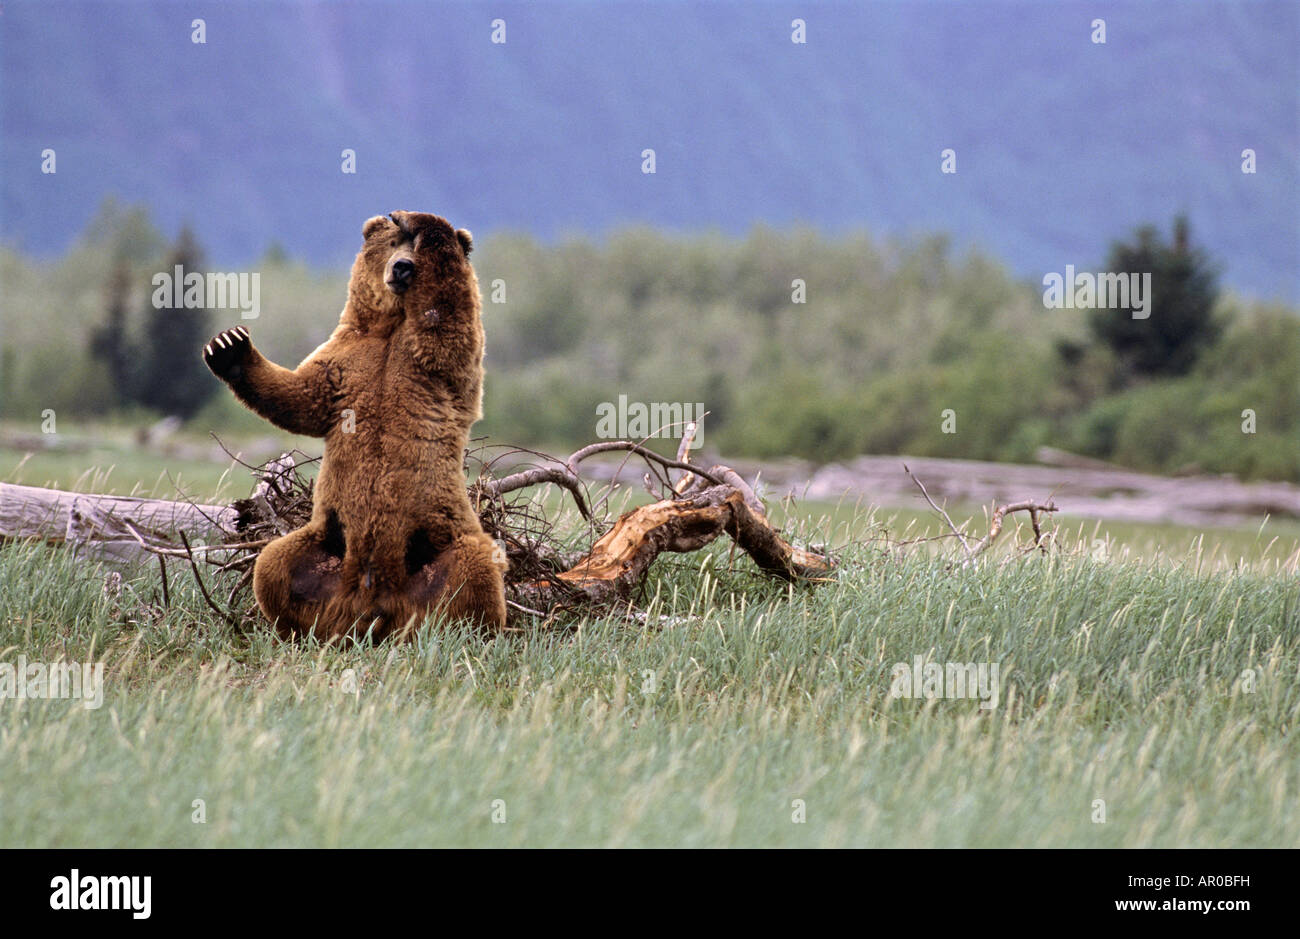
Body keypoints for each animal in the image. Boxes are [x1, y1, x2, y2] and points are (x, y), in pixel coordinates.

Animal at [202, 211, 507, 642]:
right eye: (394, 244)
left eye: (414, 248)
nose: (401, 267)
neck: (392, 324)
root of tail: (372, 607)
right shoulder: (345, 358)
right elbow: (301, 397)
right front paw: (228, 345)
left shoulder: (437, 360)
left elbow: (446, 318)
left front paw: (422, 219)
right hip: (325, 545)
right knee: (272, 564)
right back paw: (293, 628)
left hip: (441, 538)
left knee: (476, 567)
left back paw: (472, 631)